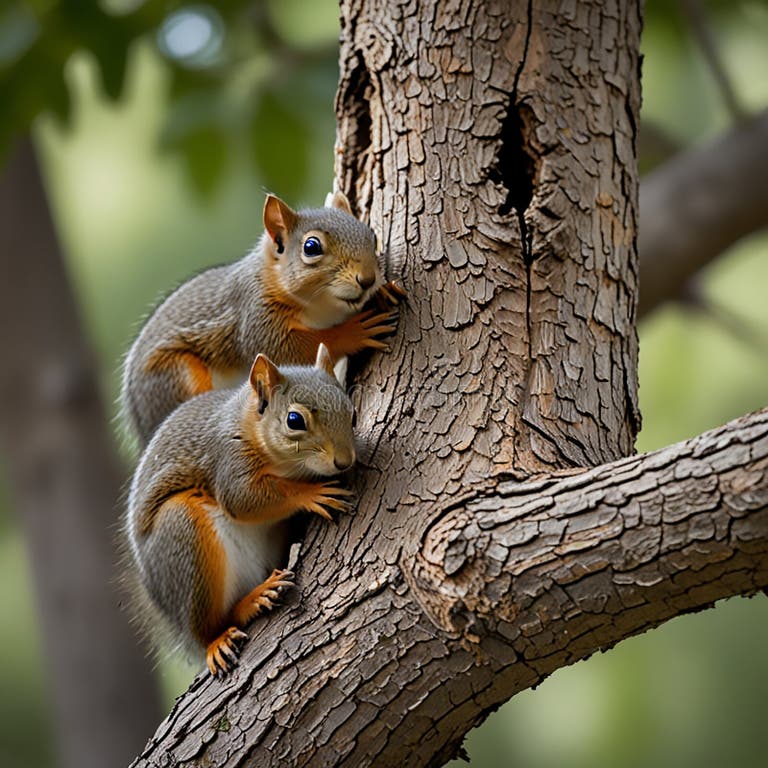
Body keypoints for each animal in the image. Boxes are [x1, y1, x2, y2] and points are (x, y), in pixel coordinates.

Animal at [121, 191, 404, 446]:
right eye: (311, 247)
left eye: (372, 236)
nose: (367, 279)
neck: (322, 307)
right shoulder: (254, 316)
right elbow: (286, 350)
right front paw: (353, 332)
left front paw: (384, 292)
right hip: (176, 377)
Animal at [124, 344, 356, 677]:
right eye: (294, 420)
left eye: (352, 413)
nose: (344, 461)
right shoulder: (228, 460)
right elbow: (243, 499)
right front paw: (311, 493)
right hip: (184, 537)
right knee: (212, 625)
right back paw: (230, 625)